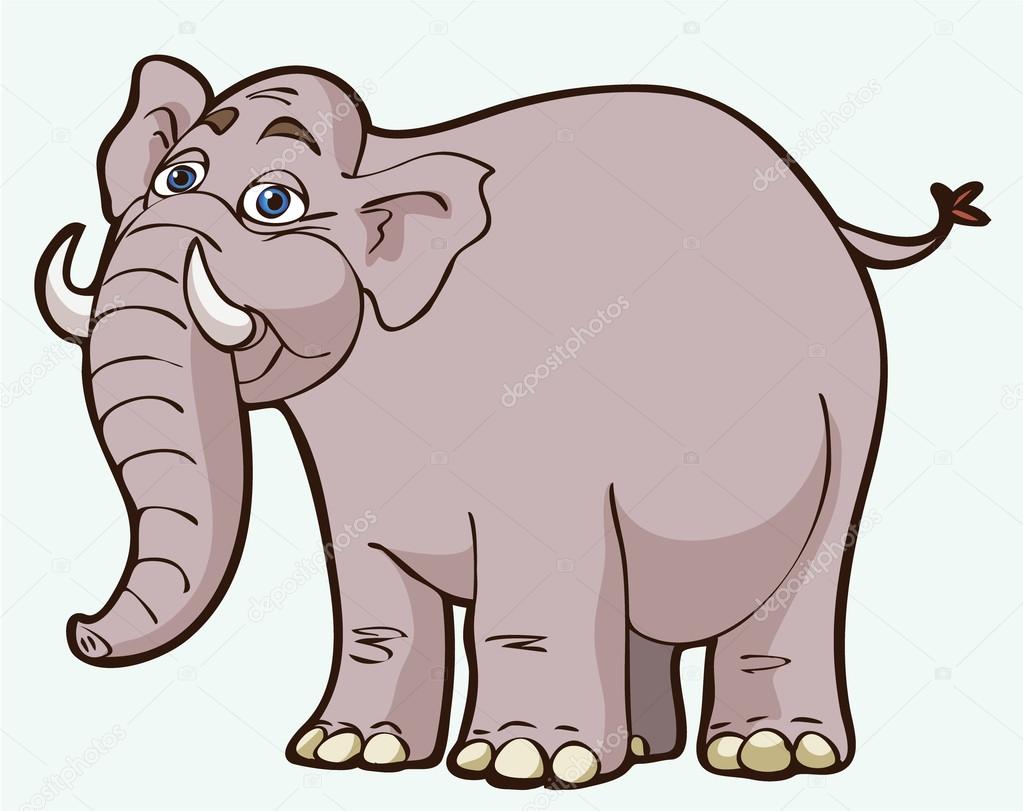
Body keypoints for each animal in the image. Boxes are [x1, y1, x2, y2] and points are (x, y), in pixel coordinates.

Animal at [36, 55, 988, 789]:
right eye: (176, 178)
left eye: (273, 205)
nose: (78, 631)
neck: (392, 152)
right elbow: (375, 590)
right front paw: (347, 752)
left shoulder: (541, 428)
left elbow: (530, 580)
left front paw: (520, 766)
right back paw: (642, 746)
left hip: (852, 396)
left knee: (806, 574)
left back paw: (767, 756)